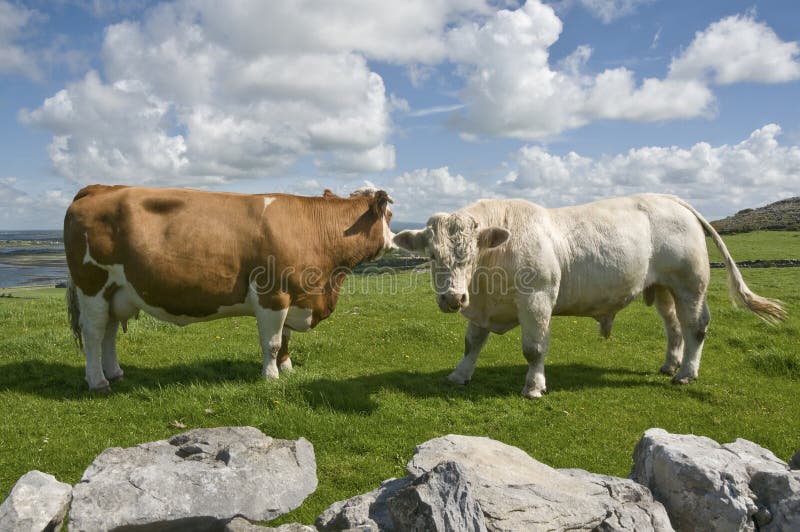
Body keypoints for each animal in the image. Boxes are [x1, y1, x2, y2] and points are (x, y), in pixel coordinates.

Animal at [64, 185, 394, 391]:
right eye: (389, 216)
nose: (394, 240)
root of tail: (100, 188)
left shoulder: (292, 296)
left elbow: (286, 338)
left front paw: (287, 369)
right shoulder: (272, 294)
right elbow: (272, 342)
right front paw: (271, 376)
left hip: (114, 291)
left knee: (108, 332)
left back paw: (114, 372)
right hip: (92, 285)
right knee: (93, 333)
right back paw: (98, 382)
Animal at [393, 194, 785, 398]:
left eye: (470, 254)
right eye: (432, 255)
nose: (452, 299)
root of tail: (673, 200)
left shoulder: (537, 300)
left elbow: (533, 348)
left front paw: (534, 385)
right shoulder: (481, 309)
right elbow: (472, 342)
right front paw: (460, 375)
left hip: (690, 284)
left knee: (696, 326)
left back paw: (686, 373)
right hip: (661, 288)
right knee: (674, 327)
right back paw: (670, 364)